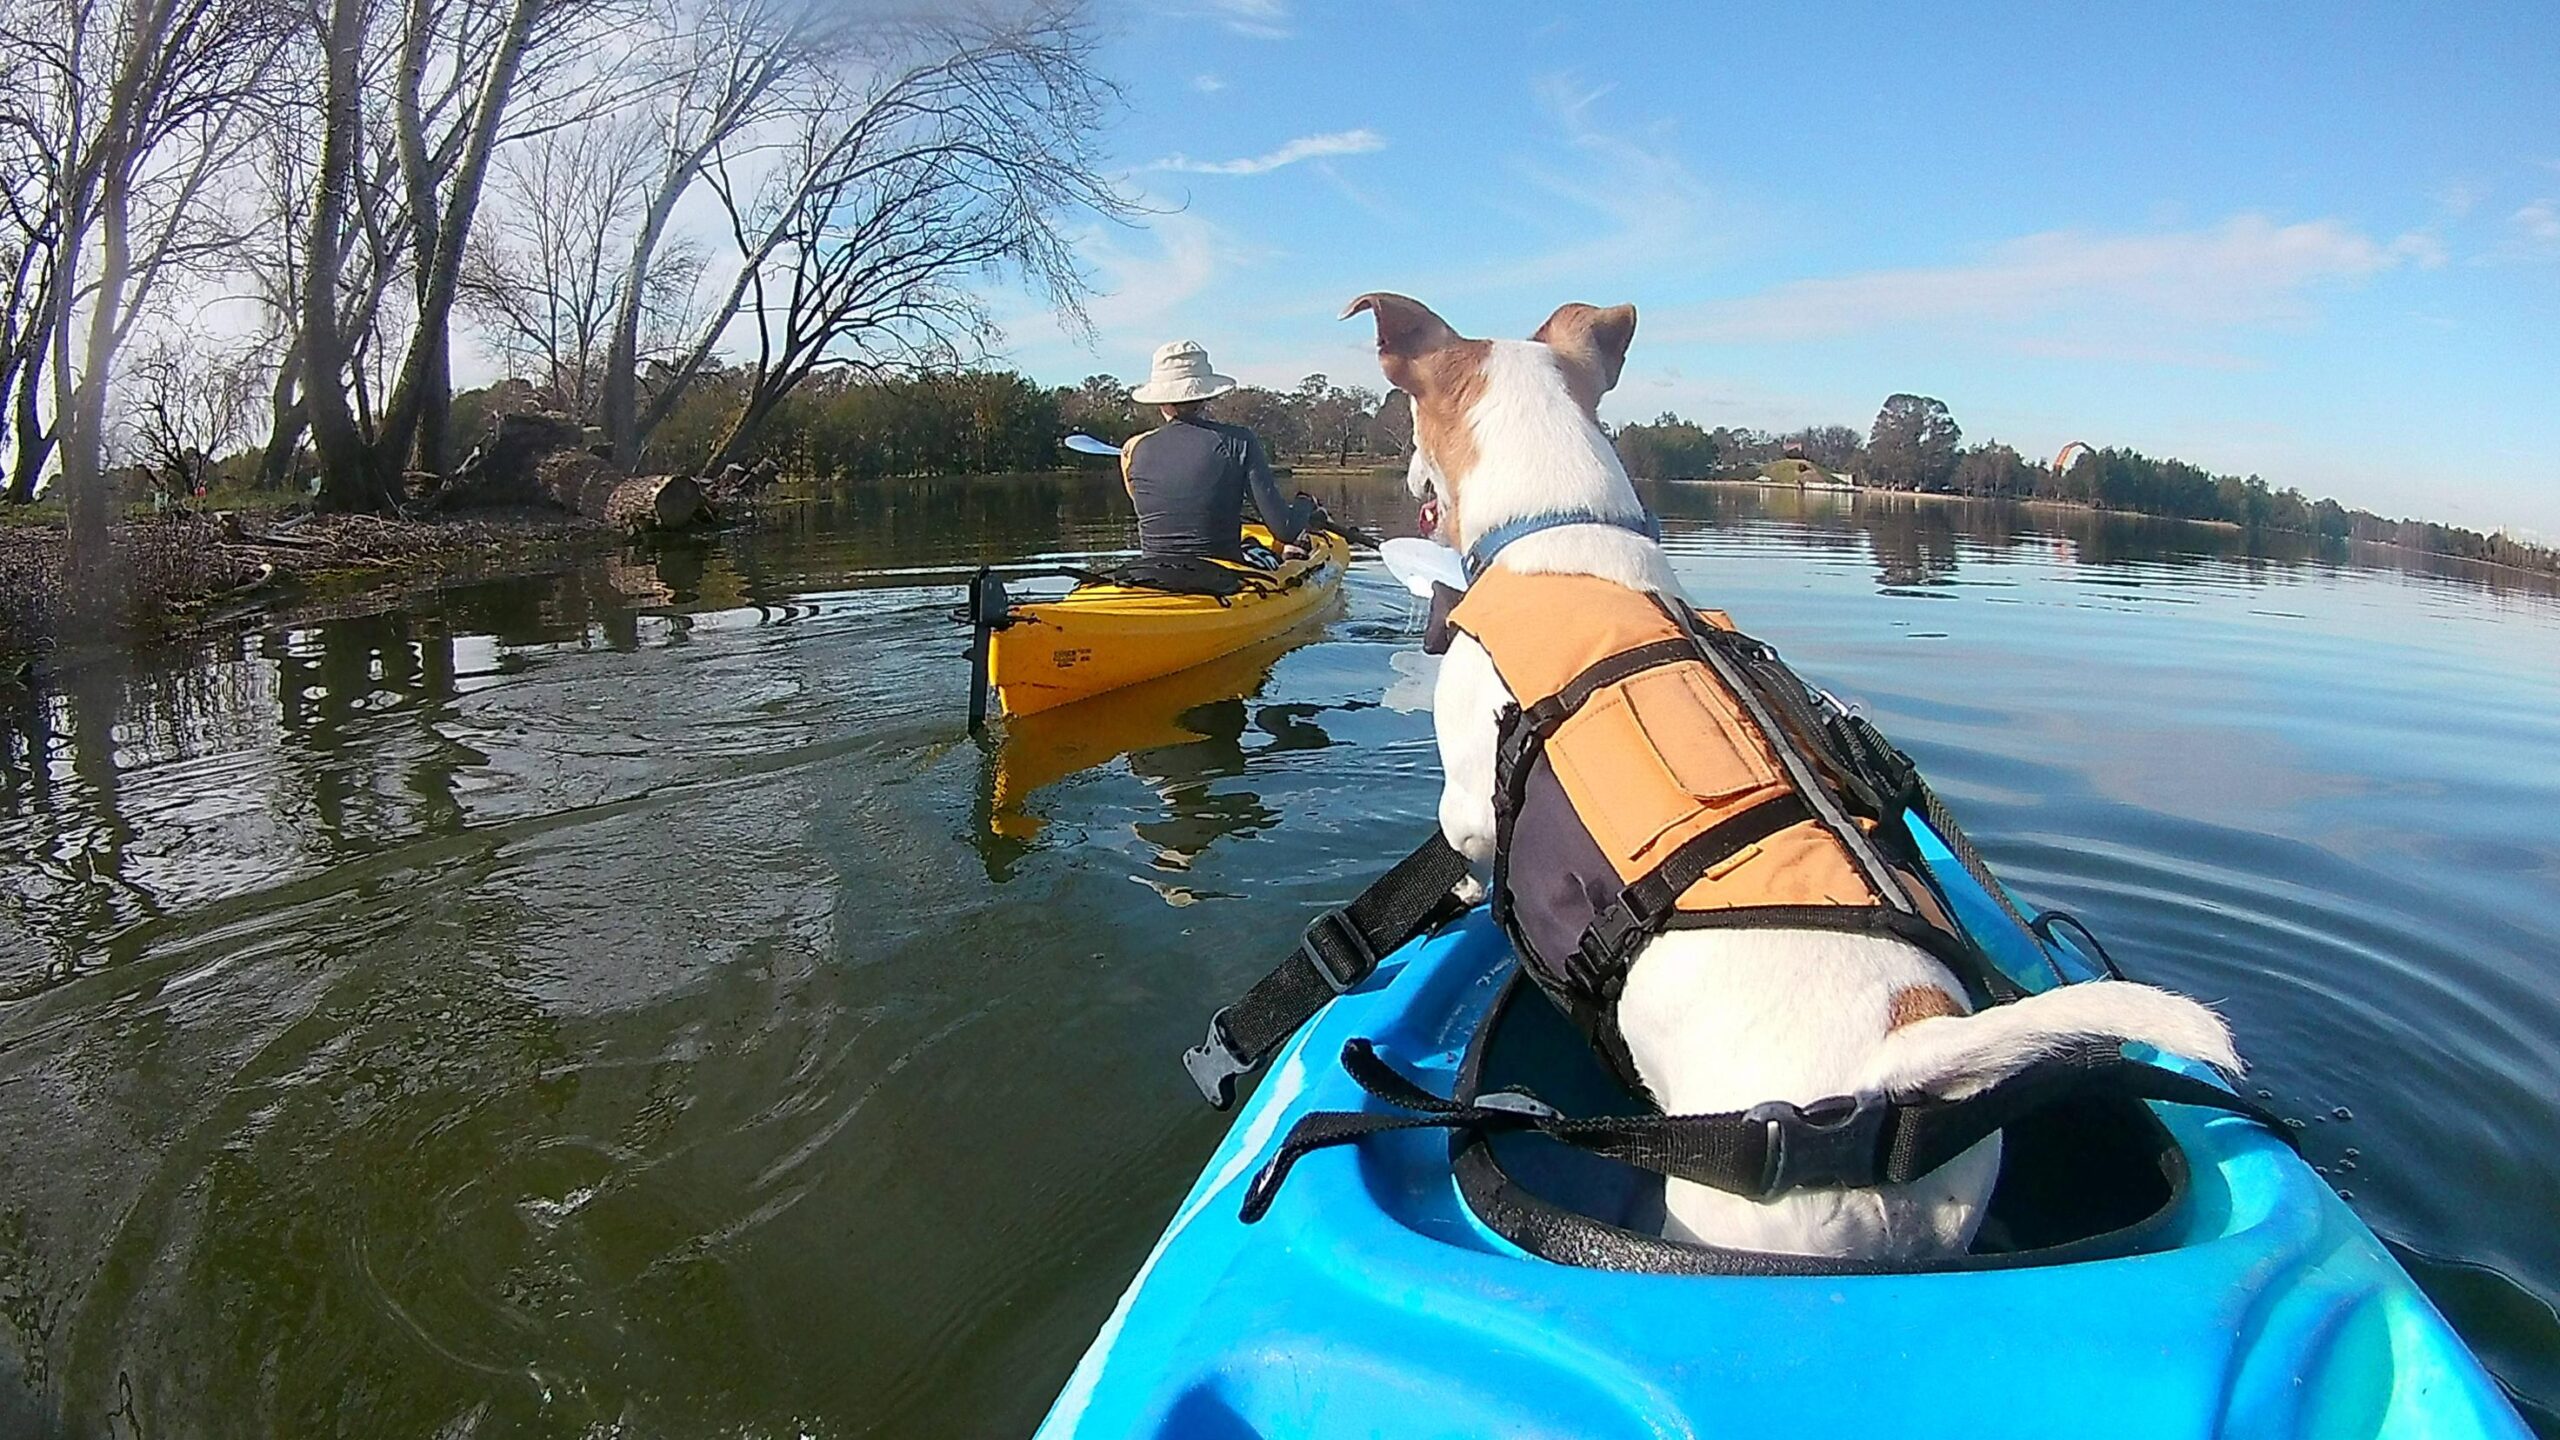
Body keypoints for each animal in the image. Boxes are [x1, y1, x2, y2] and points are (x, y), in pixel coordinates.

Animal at [1341, 292, 2242, 1255]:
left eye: (1408, 416)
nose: (1408, 475)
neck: (1563, 528)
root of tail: (1897, 1065)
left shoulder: (1471, 800)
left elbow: (1472, 852)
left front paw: (1464, 895)